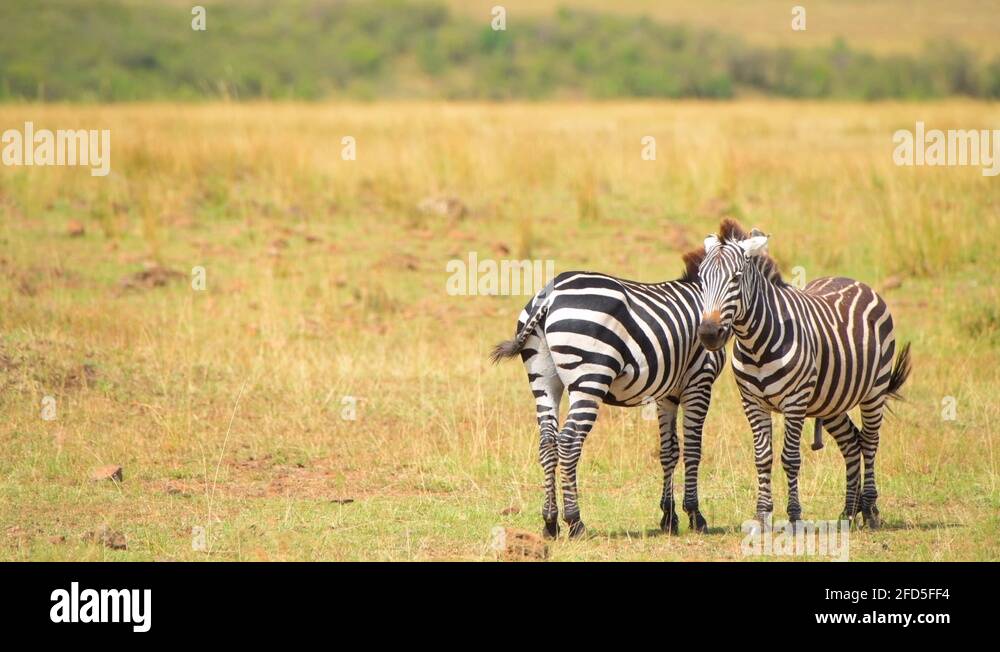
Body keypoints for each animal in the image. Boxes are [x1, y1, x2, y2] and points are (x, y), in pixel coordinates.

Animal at [491, 261, 725, 539]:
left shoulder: (667, 393)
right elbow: (692, 449)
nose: (713, 335)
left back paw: (550, 523)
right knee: (568, 442)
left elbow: (669, 450)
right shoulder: (699, 382)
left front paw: (669, 518)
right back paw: (575, 523)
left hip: (542, 379)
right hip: (589, 378)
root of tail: (551, 295)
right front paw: (695, 516)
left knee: (548, 442)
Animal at [695, 219, 912, 529]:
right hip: (831, 400)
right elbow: (762, 457)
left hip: (875, 390)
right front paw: (762, 515)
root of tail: (853, 281)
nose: (709, 333)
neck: (756, 345)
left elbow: (790, 458)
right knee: (851, 443)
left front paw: (795, 516)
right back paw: (849, 512)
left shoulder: (795, 401)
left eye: (736, 278)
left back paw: (870, 511)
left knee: (870, 442)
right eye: (701, 279)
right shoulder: (752, 402)